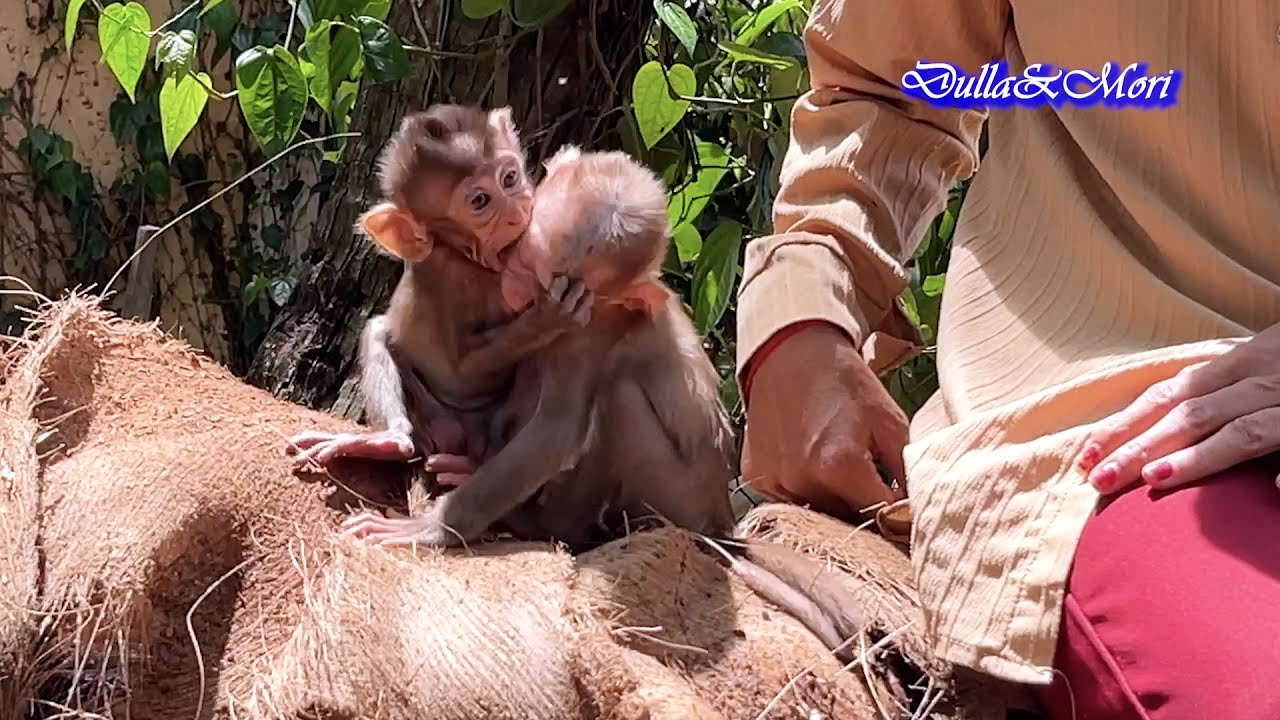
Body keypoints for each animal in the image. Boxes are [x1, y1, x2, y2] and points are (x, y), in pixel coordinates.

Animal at [287, 104, 591, 482]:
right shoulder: (444, 275)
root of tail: (464, 436)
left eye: (509, 179)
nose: (516, 210)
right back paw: (390, 443)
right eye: (480, 201)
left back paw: (474, 466)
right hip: (430, 419)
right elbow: (459, 371)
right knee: (378, 333)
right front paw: (551, 314)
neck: (477, 263)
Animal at [342, 146, 870, 661]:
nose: (512, 286)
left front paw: (434, 527)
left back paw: (545, 523)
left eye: (547, 284)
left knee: (616, 399)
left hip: (671, 495)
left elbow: (558, 430)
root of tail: (721, 520)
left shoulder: (585, 327)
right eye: (518, 255)